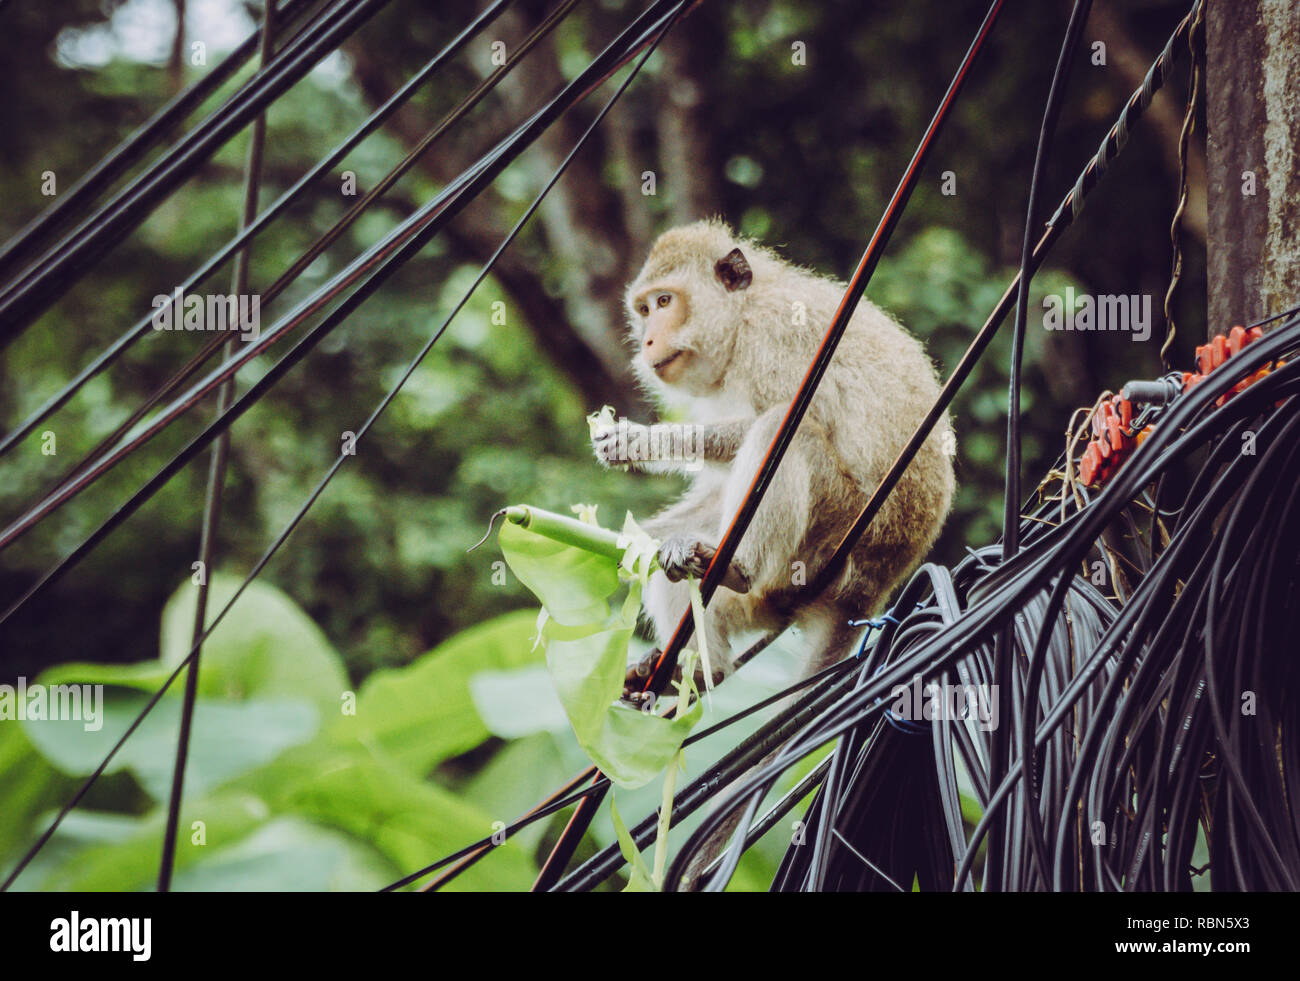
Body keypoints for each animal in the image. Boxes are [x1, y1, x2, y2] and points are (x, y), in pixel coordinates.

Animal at [590, 219, 955, 887]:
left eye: (664, 301)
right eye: (644, 309)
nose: (647, 338)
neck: (740, 320)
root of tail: (868, 594)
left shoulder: (775, 341)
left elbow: (778, 419)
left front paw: (641, 440)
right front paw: (636, 539)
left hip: (833, 541)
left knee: (789, 433)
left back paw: (730, 568)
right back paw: (701, 663)